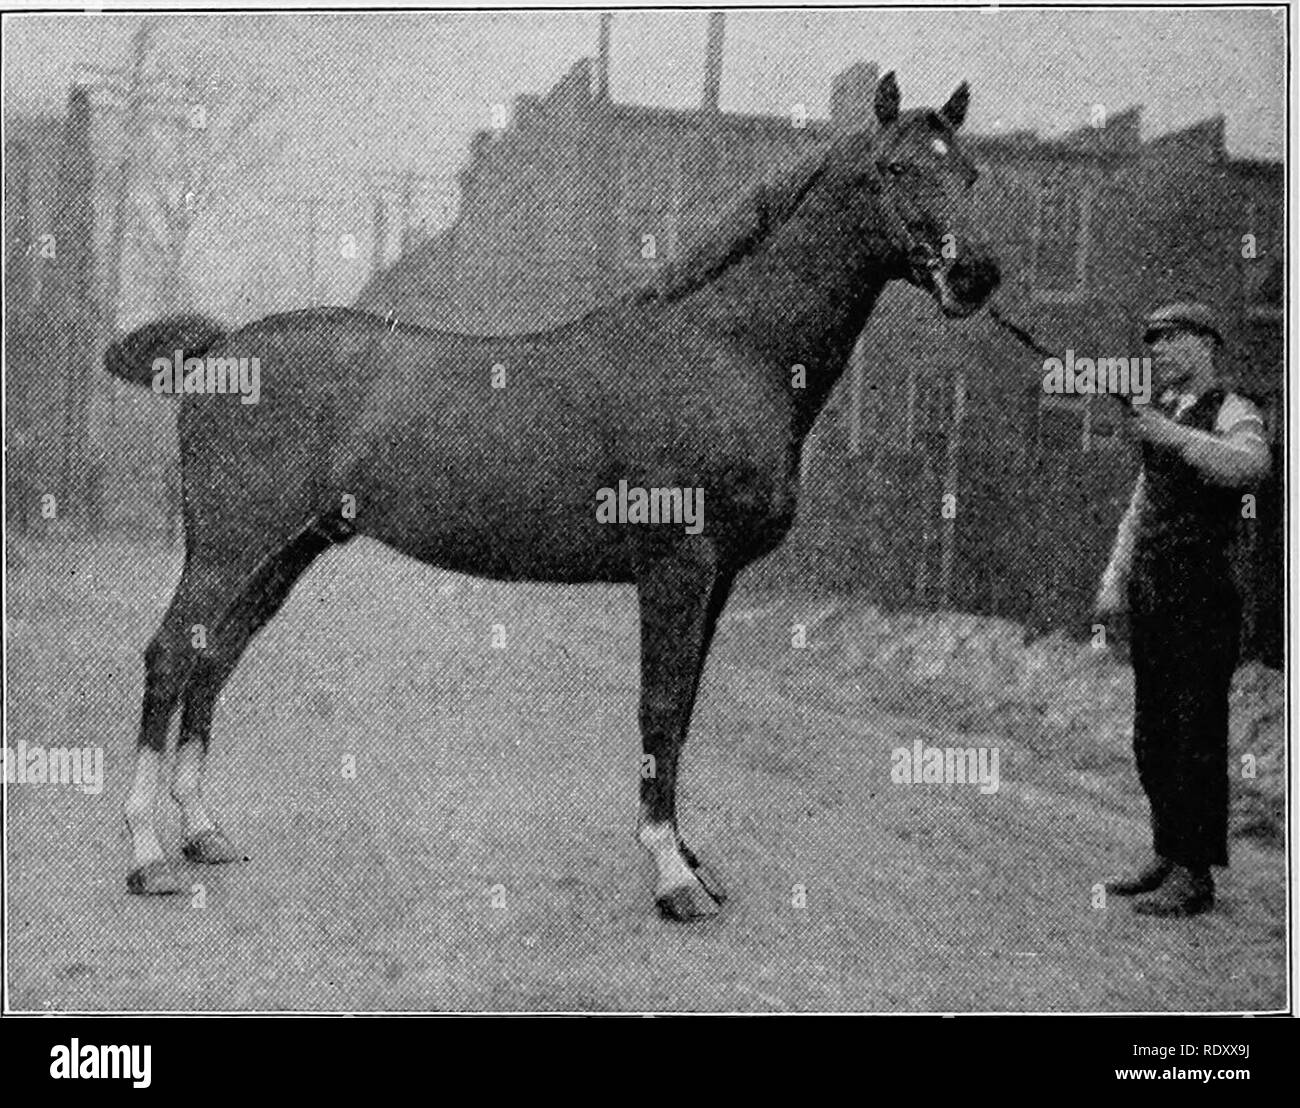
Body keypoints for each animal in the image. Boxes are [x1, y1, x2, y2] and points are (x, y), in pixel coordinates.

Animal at [105, 72, 1000, 922]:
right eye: (894, 169)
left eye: (970, 172)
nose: (975, 276)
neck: (727, 349)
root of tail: (218, 349)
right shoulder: (676, 570)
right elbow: (660, 707)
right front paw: (672, 876)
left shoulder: (717, 580)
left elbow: (684, 711)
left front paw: (691, 858)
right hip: (230, 545)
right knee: (170, 655)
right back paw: (147, 854)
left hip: (286, 551)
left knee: (214, 658)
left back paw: (202, 832)